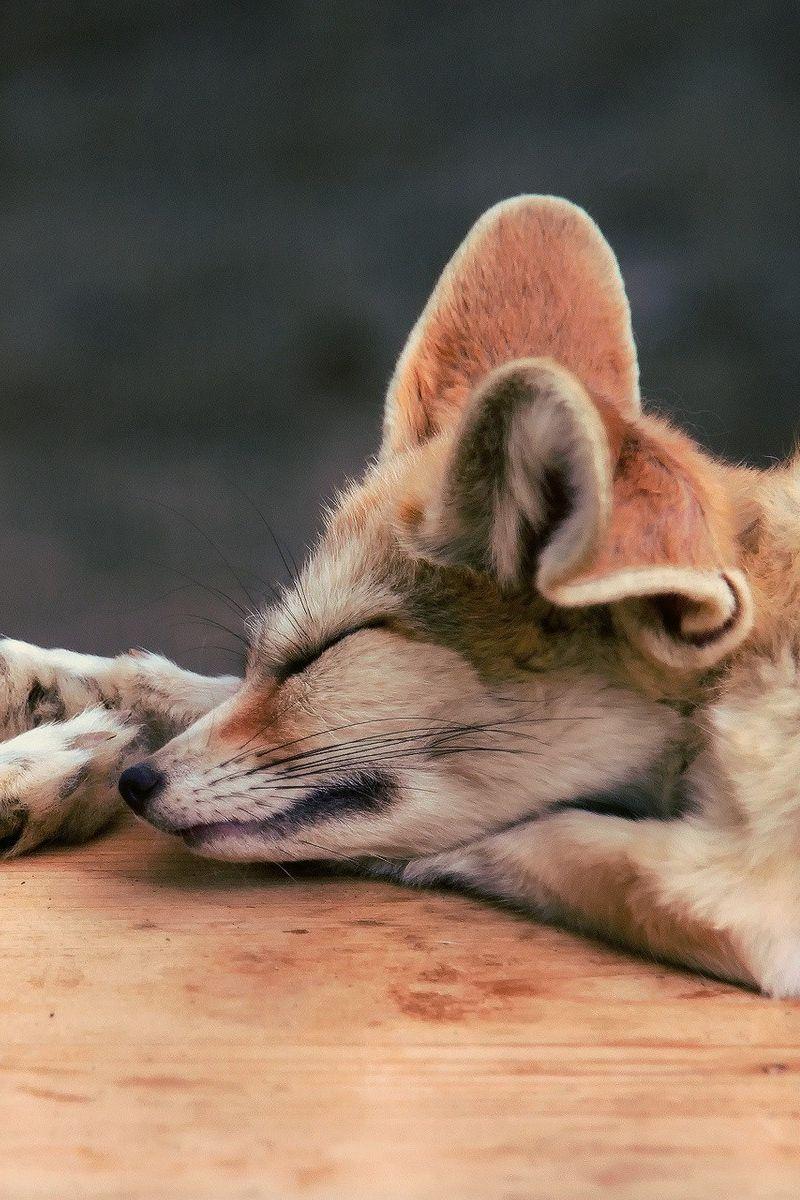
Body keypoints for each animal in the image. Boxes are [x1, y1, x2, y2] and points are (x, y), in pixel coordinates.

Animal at [3, 195, 800, 996]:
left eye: (323, 653)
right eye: (283, 653)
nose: (138, 782)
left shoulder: (749, 892)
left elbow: (537, 843)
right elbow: (198, 689)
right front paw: (51, 691)